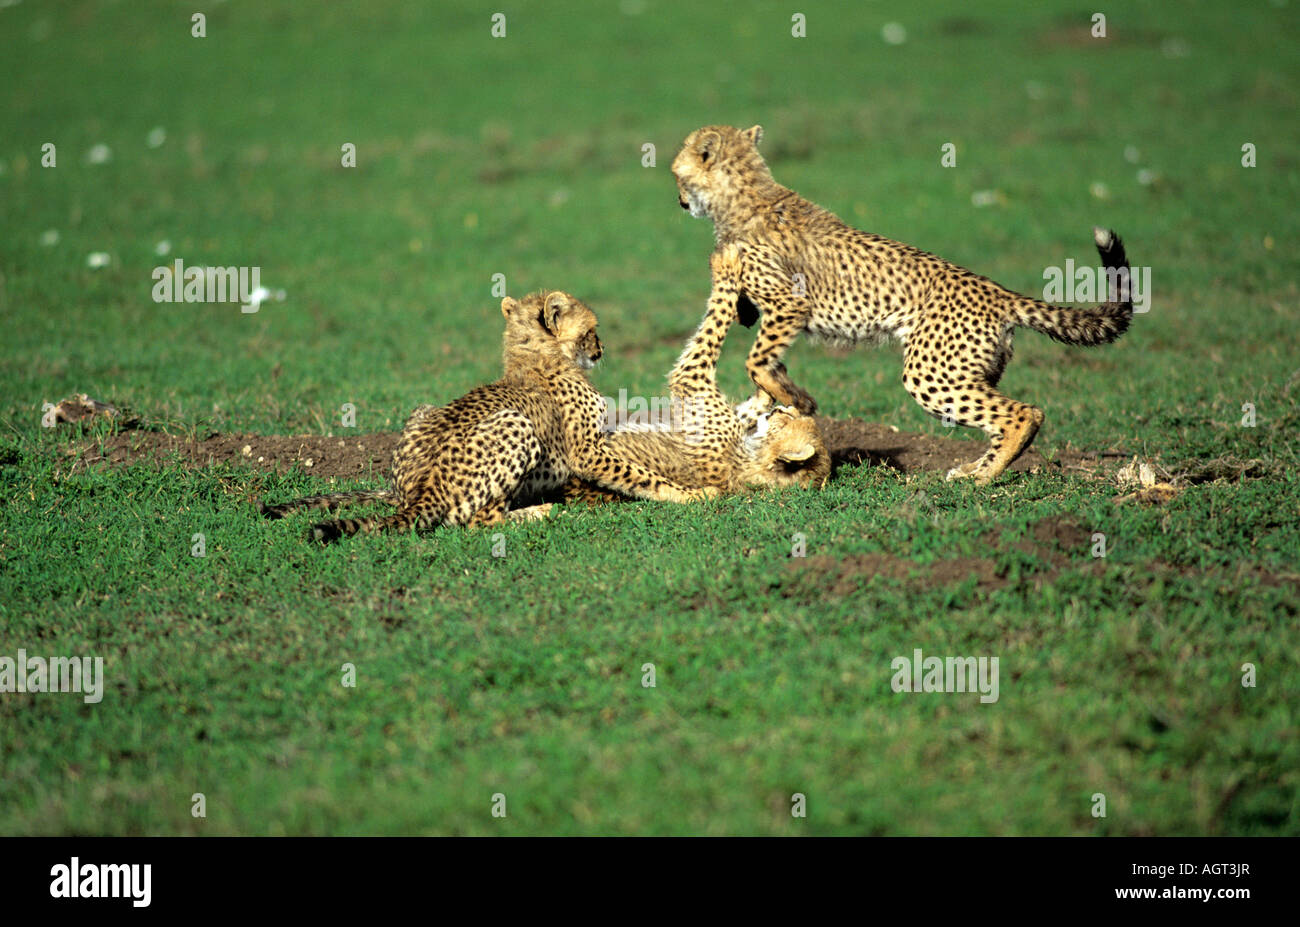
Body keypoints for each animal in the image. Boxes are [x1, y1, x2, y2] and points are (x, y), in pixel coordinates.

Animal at [258, 290, 716, 542]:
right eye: (591, 330)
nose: (602, 350)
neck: (537, 356)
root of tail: (415, 494)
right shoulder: (587, 453)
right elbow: (641, 475)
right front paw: (694, 494)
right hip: (517, 425)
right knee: (479, 521)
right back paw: (539, 512)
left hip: (422, 411)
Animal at [563, 243, 830, 505]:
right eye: (792, 417)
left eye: (786, 421)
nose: (781, 411)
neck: (750, 463)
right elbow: (750, 407)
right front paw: (780, 385)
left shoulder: (692, 378)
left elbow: (715, 324)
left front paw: (727, 263)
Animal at [672, 123, 1135, 485]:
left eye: (677, 173)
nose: (679, 200)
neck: (745, 194)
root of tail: (997, 290)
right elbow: (762, 366)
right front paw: (767, 401)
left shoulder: (790, 306)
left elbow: (756, 360)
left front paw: (784, 397)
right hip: (973, 370)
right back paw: (975, 468)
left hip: (931, 373)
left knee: (1024, 413)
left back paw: (983, 476)